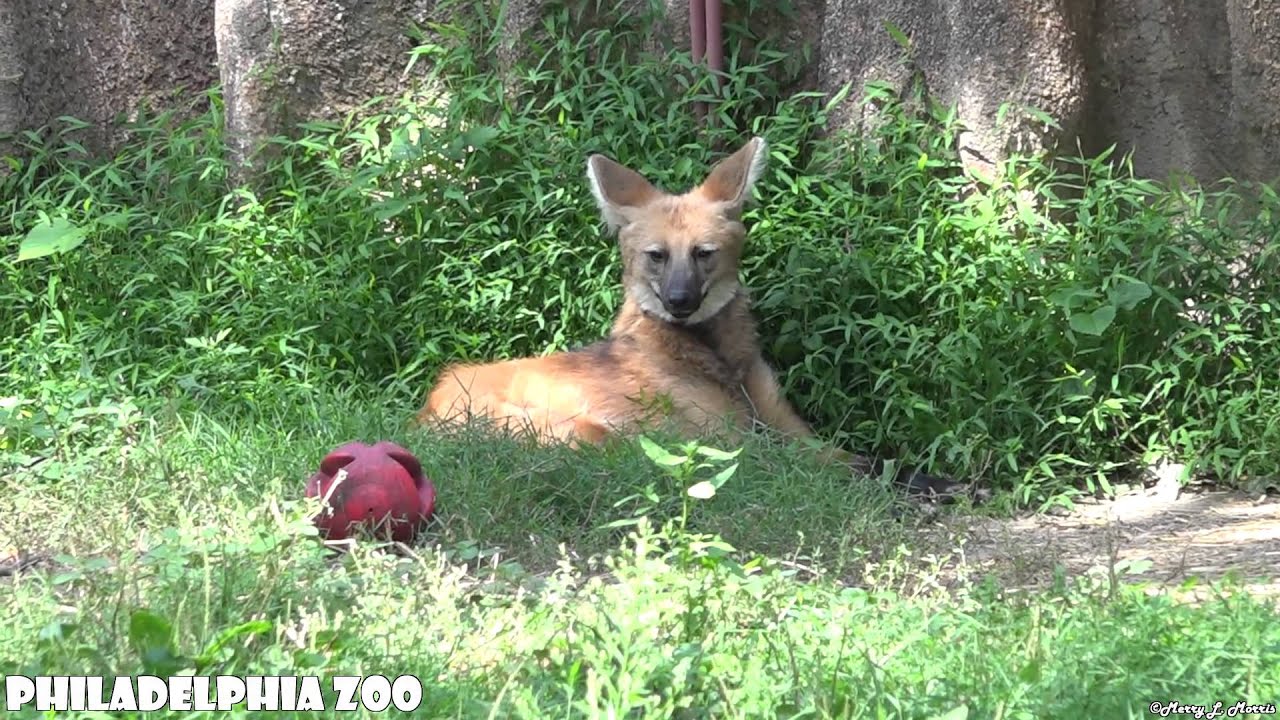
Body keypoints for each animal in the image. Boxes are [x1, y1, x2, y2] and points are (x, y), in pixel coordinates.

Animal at [417, 136, 958, 497]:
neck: (720, 361)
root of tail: (427, 409)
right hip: (586, 434)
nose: (679, 301)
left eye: (703, 253)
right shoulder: (734, 442)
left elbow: (860, 458)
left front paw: (941, 481)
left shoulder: (782, 426)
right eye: (657, 256)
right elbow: (835, 468)